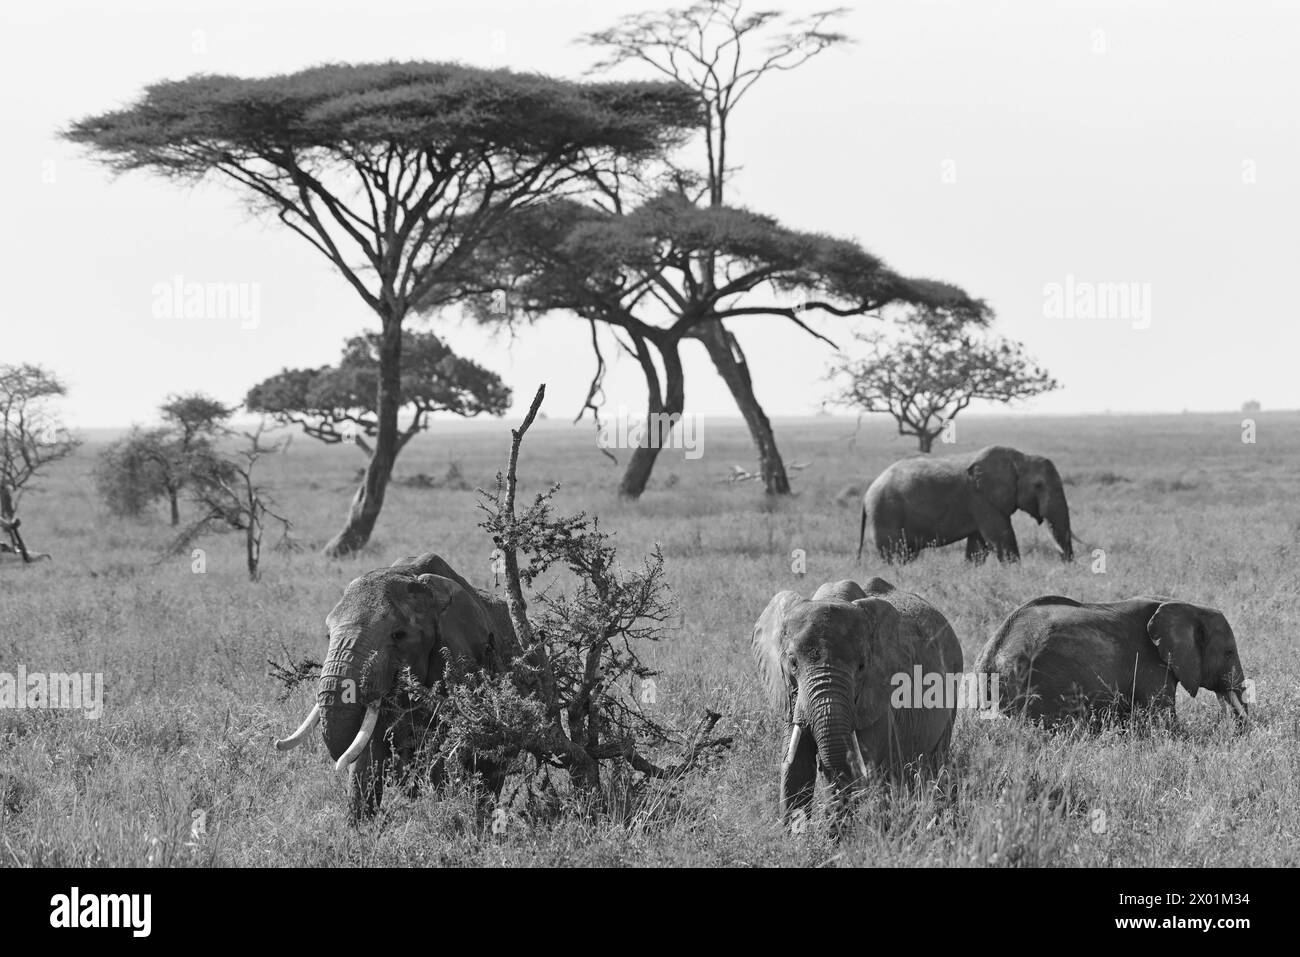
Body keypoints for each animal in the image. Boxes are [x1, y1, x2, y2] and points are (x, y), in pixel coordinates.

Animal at [751, 577, 963, 828]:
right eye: (792, 663)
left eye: (862, 666)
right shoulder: (790, 694)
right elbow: (797, 767)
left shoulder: (879, 697)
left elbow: (866, 763)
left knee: (933, 761)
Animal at [858, 445, 1073, 564]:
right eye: (1038, 485)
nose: (1066, 562)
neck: (1020, 457)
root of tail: (866, 494)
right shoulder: (980, 498)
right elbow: (1002, 538)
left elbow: (978, 547)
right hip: (885, 512)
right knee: (894, 553)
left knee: (907, 554)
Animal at [974, 595, 1250, 729]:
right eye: (1228, 652)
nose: (1236, 729)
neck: (1187, 606)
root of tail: (991, 657)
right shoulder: (1149, 661)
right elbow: (1163, 719)